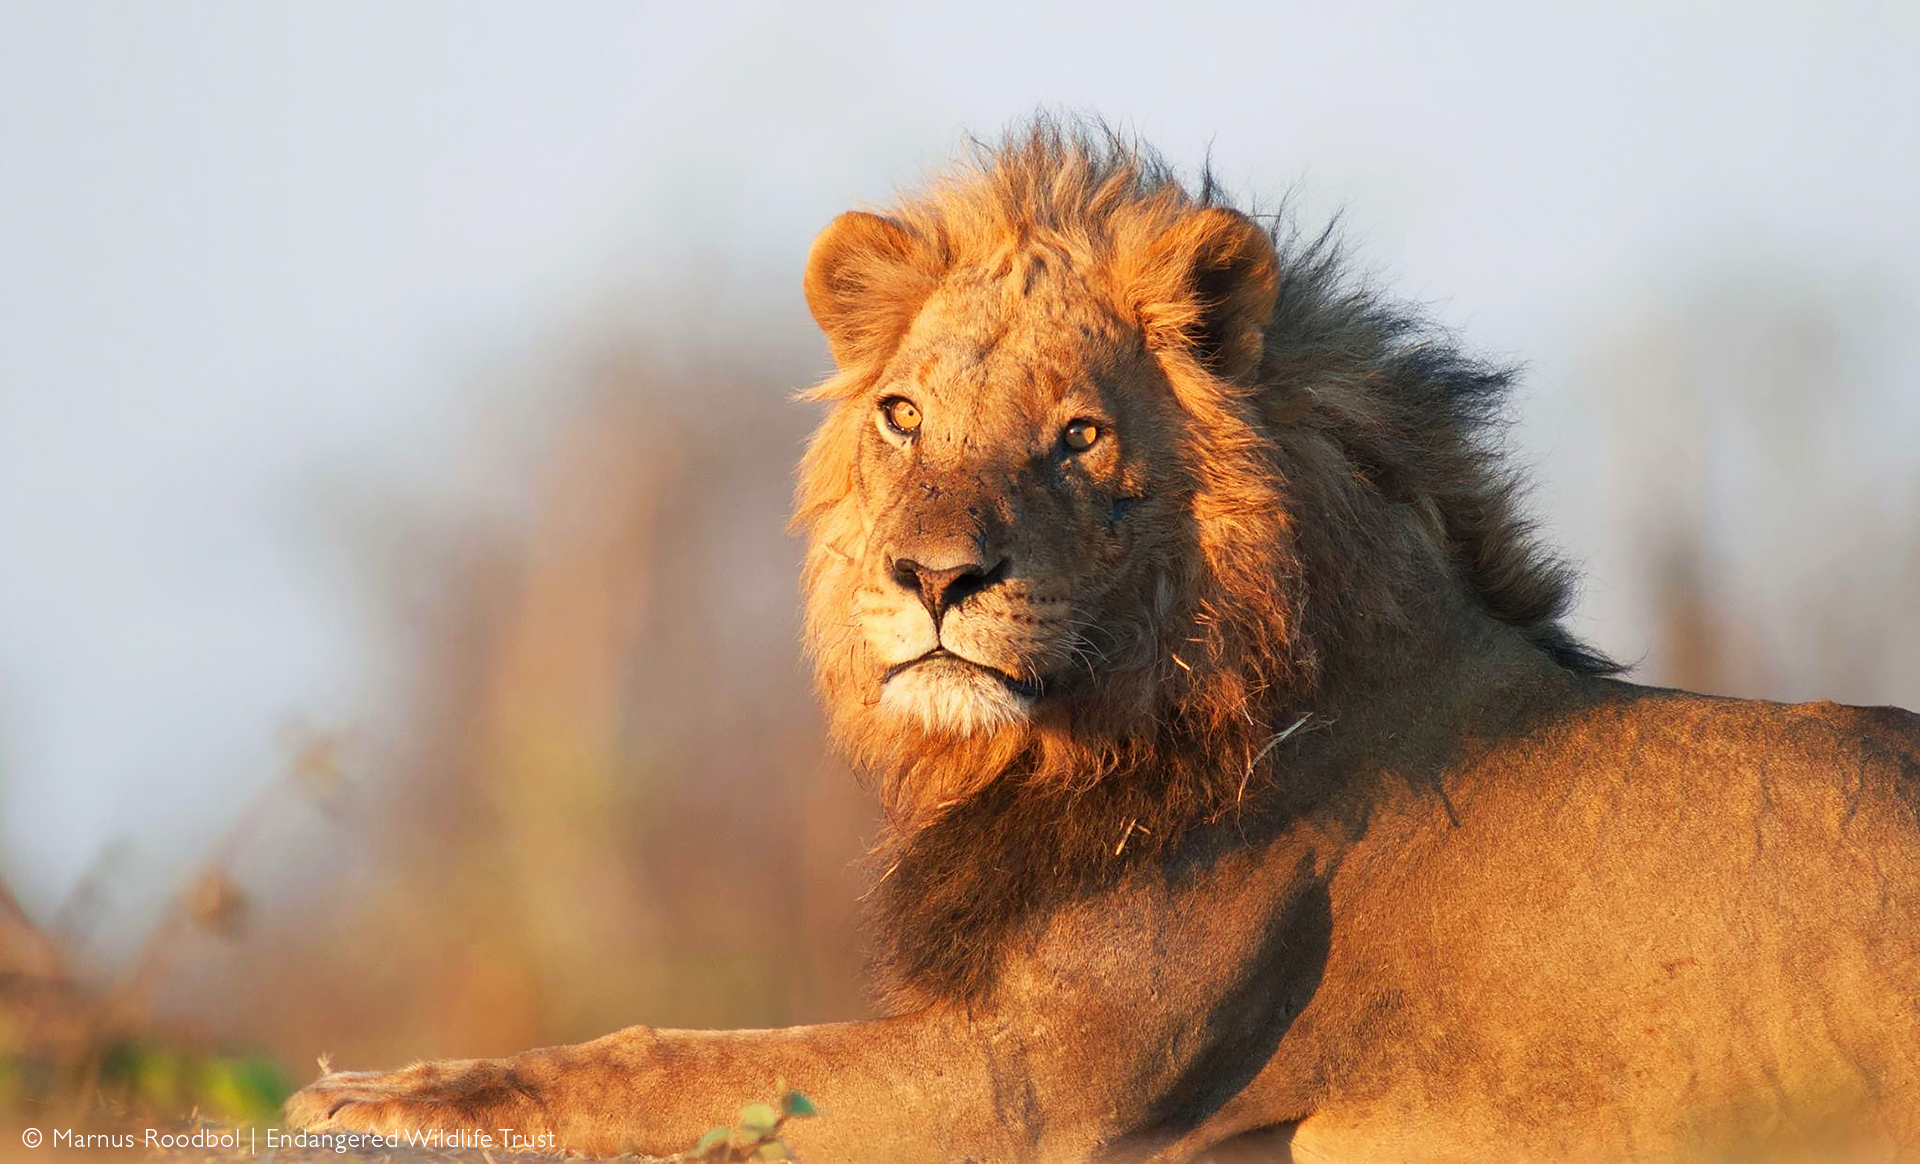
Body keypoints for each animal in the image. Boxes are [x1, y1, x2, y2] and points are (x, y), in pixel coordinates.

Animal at [285, 123, 1920, 1161]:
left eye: (1077, 436)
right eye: (905, 416)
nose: (934, 575)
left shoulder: (1036, 1087)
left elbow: (684, 1068)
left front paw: (371, 1097)